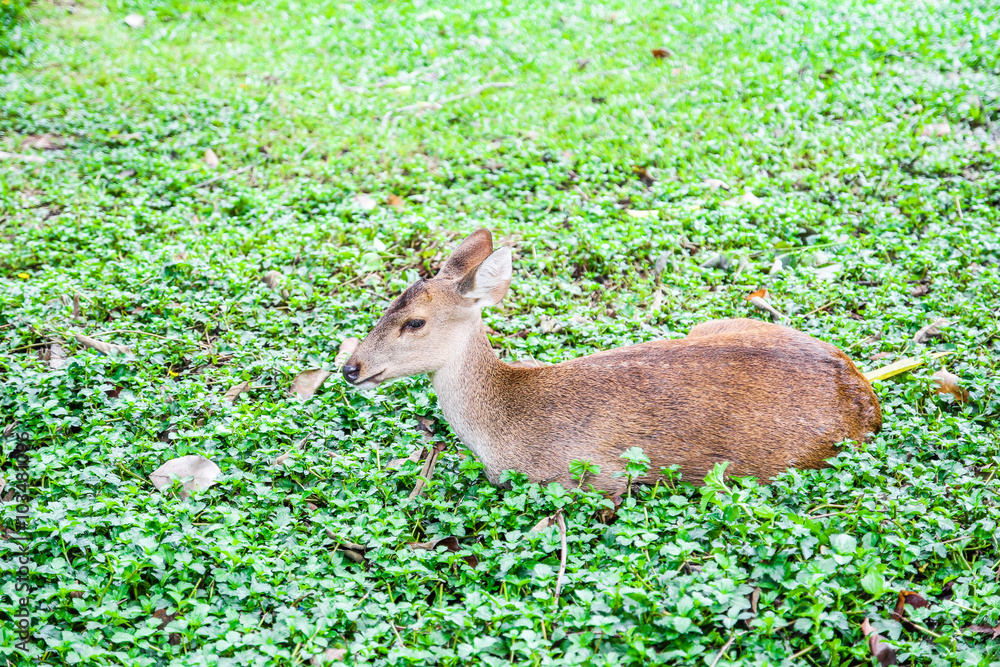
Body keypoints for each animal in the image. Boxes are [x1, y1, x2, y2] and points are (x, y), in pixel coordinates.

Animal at [342, 229, 882, 493]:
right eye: (388, 305)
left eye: (415, 323)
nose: (351, 368)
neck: (500, 429)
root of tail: (869, 399)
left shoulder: (595, 475)